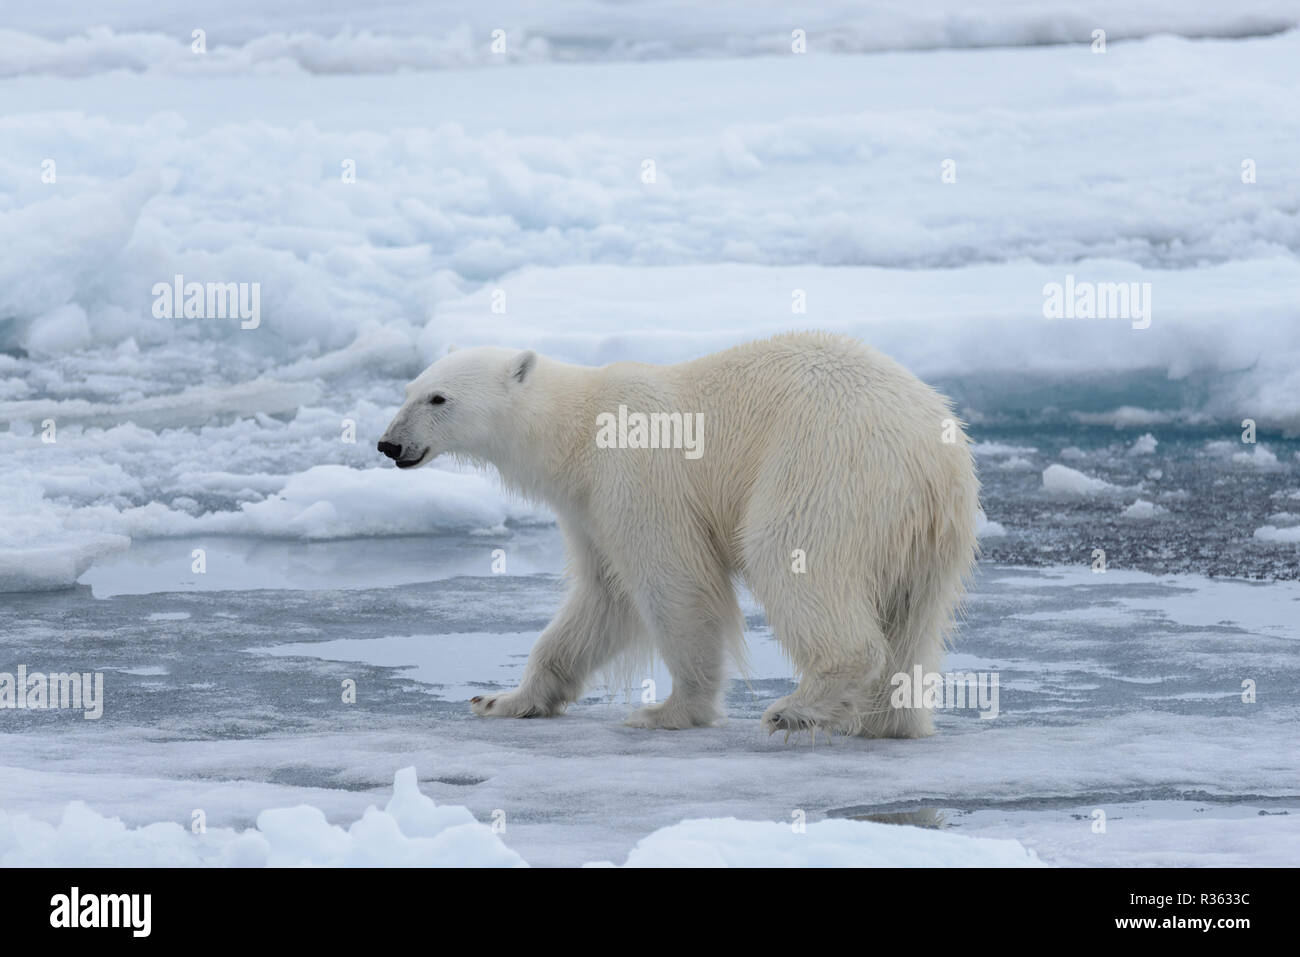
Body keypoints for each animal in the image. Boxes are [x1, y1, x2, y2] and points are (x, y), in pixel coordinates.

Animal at [378, 332, 980, 738]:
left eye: (438, 398)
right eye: (407, 390)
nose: (388, 444)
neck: (577, 432)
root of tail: (934, 455)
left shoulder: (636, 475)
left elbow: (674, 581)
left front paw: (667, 711)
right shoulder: (587, 505)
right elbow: (604, 598)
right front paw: (504, 699)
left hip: (827, 466)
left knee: (786, 551)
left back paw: (798, 708)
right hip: (932, 534)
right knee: (915, 616)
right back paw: (887, 720)